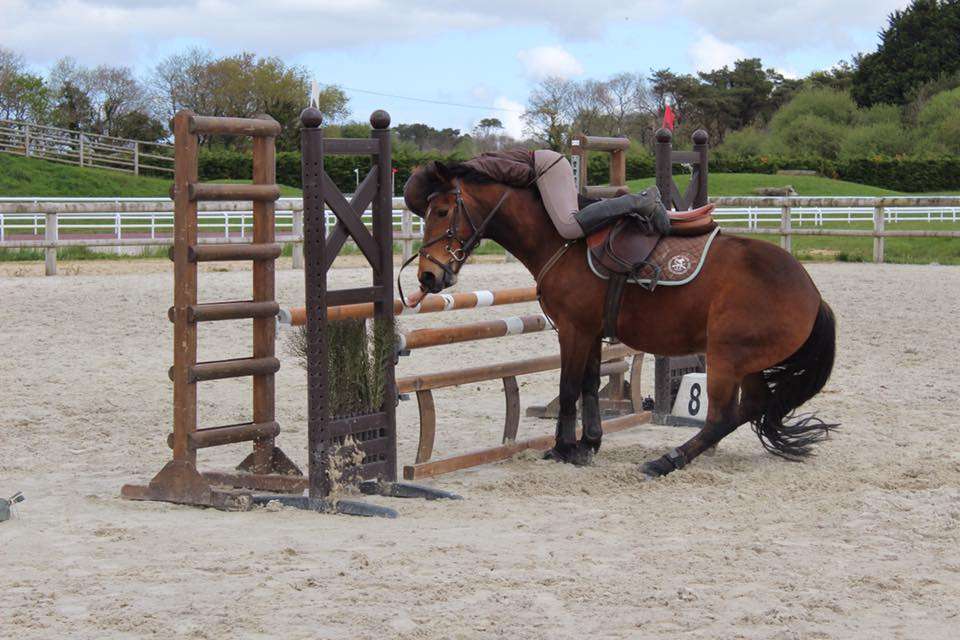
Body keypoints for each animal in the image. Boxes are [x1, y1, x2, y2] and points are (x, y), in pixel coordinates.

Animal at [403, 160, 837, 477]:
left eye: (441, 211)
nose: (427, 276)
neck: (565, 241)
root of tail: (813, 294)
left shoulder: (574, 330)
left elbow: (569, 388)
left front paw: (563, 448)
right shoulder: (592, 332)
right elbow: (591, 386)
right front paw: (588, 443)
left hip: (726, 356)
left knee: (722, 416)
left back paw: (666, 461)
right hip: (746, 362)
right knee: (751, 407)